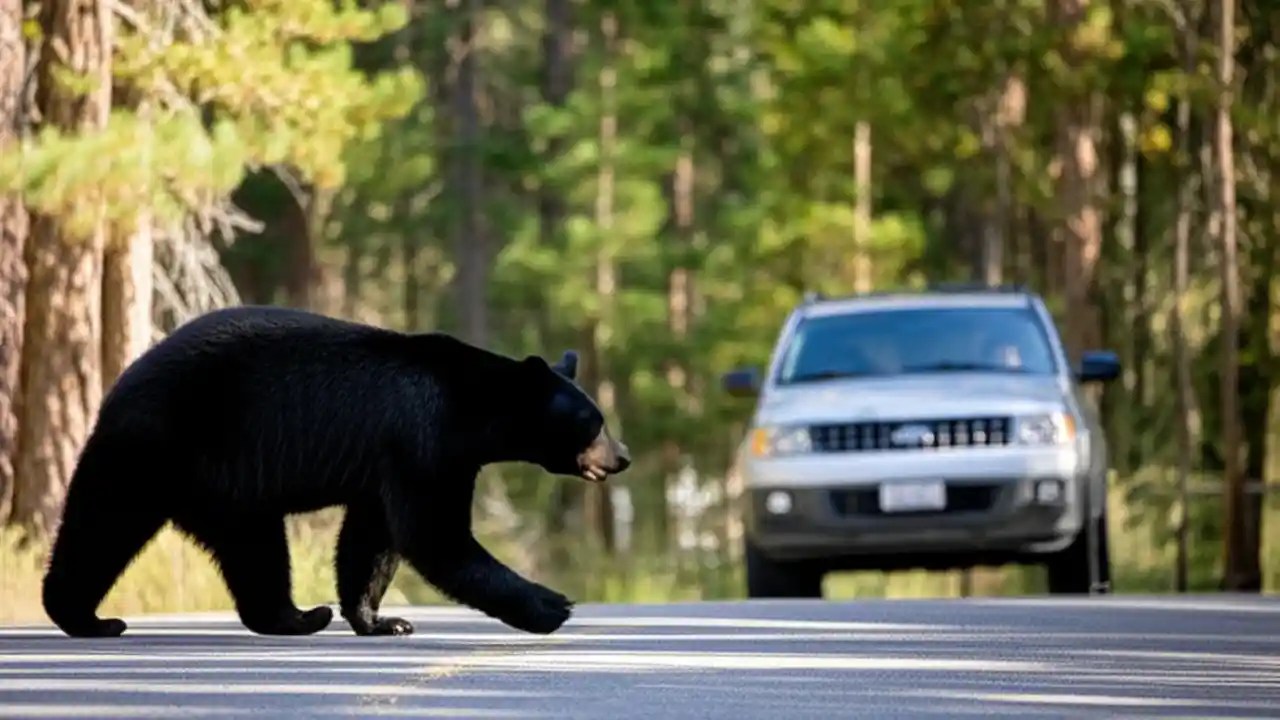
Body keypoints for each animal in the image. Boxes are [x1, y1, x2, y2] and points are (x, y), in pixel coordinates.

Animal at [40, 305, 631, 639]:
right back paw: (87, 618)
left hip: (225, 487)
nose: (622, 455)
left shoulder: (391, 459)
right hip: (158, 447)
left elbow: (372, 538)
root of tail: (118, 386)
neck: (473, 409)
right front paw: (551, 603)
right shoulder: (423, 439)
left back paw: (296, 617)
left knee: (254, 547)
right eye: (595, 422)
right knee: (103, 522)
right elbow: (434, 536)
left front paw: (381, 620)